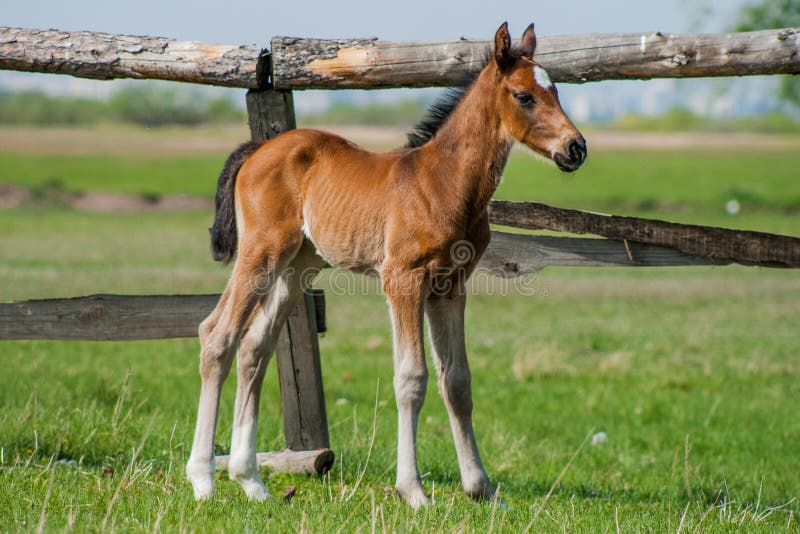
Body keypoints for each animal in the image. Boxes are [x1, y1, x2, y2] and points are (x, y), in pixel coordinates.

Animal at [186, 21, 587, 507]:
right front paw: (412, 490)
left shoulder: (451, 287)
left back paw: (251, 481)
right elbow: (411, 378)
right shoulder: (403, 279)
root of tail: (260, 149)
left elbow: (458, 382)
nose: (576, 148)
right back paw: (203, 479)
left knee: (254, 347)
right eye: (524, 96)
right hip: (260, 253)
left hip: (297, 266)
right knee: (217, 335)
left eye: (557, 91)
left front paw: (482, 488)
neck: (444, 182)